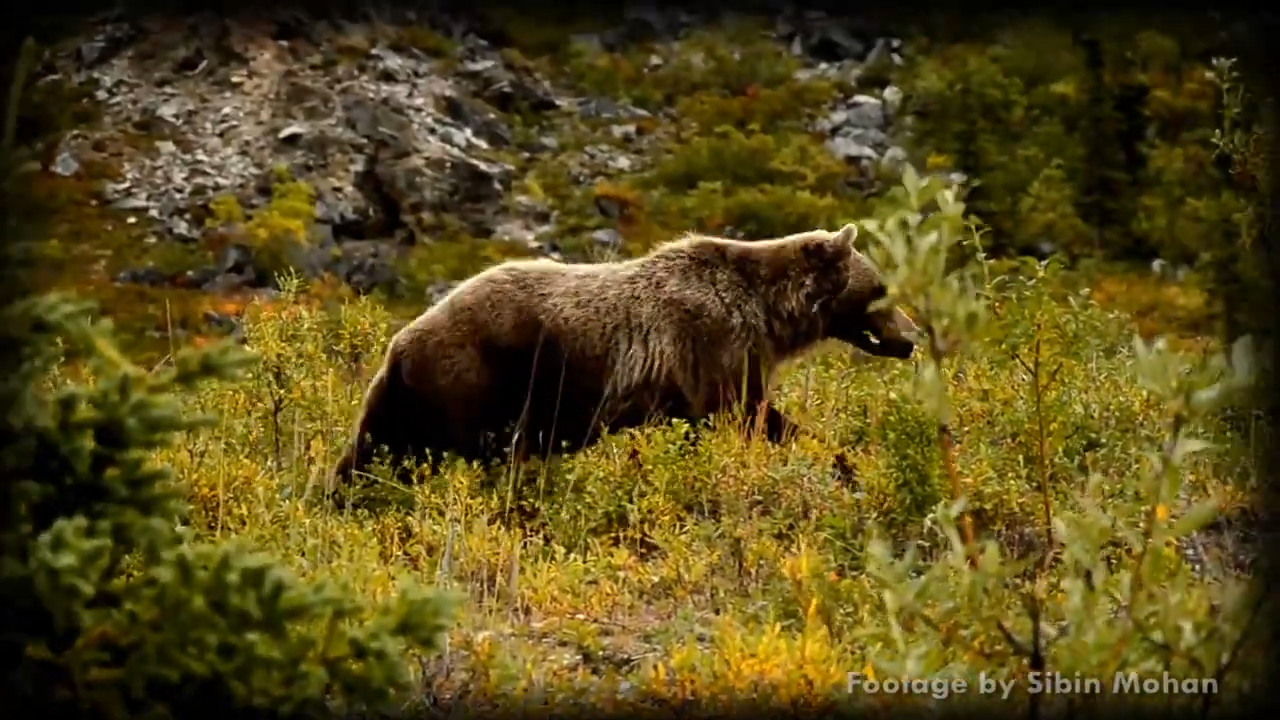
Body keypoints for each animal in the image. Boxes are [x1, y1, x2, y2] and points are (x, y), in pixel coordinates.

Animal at [330, 223, 918, 490]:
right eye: (881, 288)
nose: (911, 337)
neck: (771, 315)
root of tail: (400, 342)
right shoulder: (713, 344)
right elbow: (743, 414)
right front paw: (839, 461)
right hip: (480, 375)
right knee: (473, 448)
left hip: (409, 398)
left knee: (371, 450)